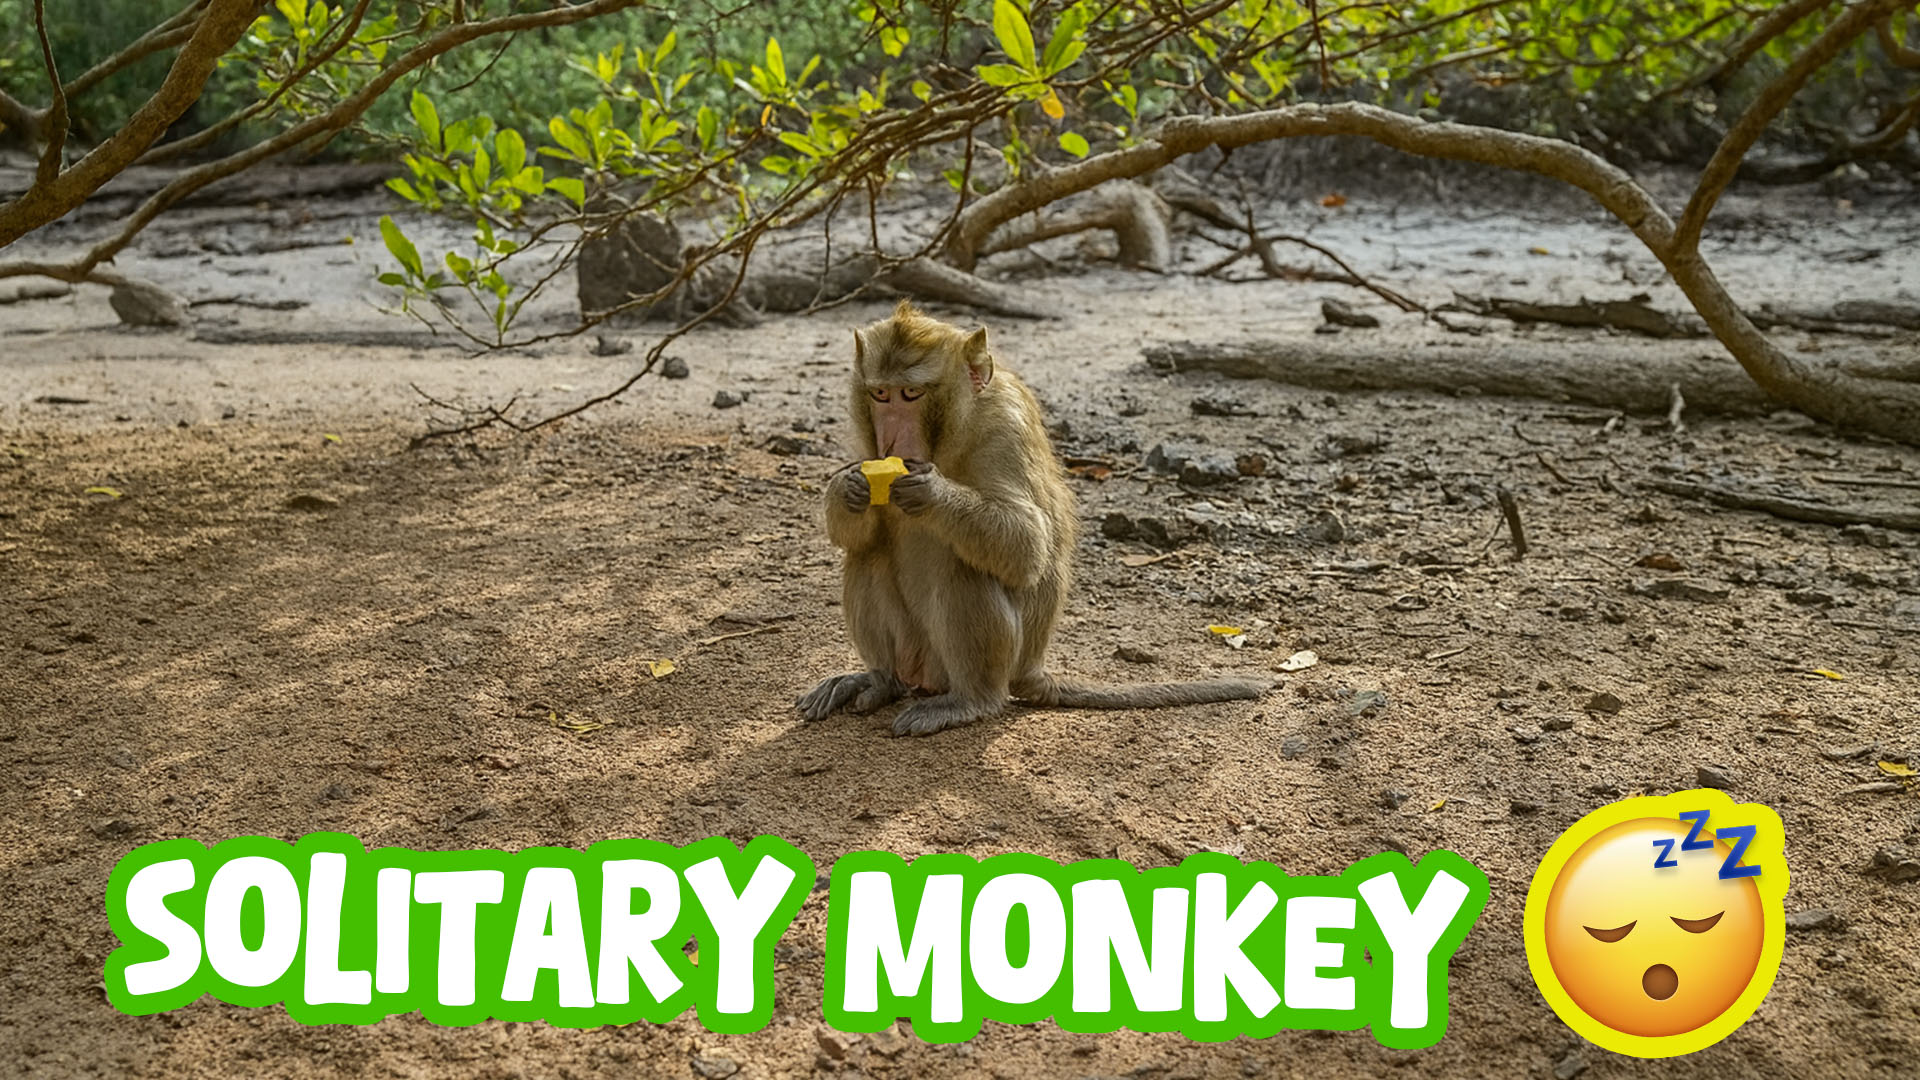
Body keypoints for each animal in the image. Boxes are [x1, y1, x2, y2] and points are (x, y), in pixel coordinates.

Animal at [797, 301, 1270, 736]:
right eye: (880, 395)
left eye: (911, 395)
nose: (892, 439)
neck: (949, 438)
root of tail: (1031, 669)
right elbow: (857, 533)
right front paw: (849, 489)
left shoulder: (1006, 425)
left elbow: (1026, 546)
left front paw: (932, 493)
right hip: (918, 657)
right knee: (867, 556)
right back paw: (879, 680)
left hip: (993, 660)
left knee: (962, 570)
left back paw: (970, 701)